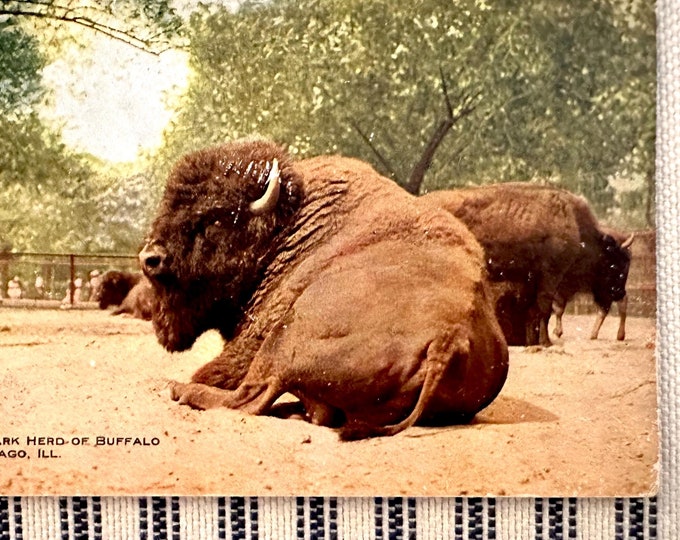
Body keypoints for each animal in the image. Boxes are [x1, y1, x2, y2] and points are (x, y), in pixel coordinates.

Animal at [140, 139, 508, 440]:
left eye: (212, 219)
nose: (150, 259)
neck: (284, 228)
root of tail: (449, 338)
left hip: (285, 336)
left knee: (249, 396)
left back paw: (181, 390)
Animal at [421, 183, 633, 346]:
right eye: (615, 264)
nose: (619, 292)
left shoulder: (531, 280)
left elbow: (534, 311)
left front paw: (533, 341)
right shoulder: (551, 277)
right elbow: (544, 309)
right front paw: (546, 342)